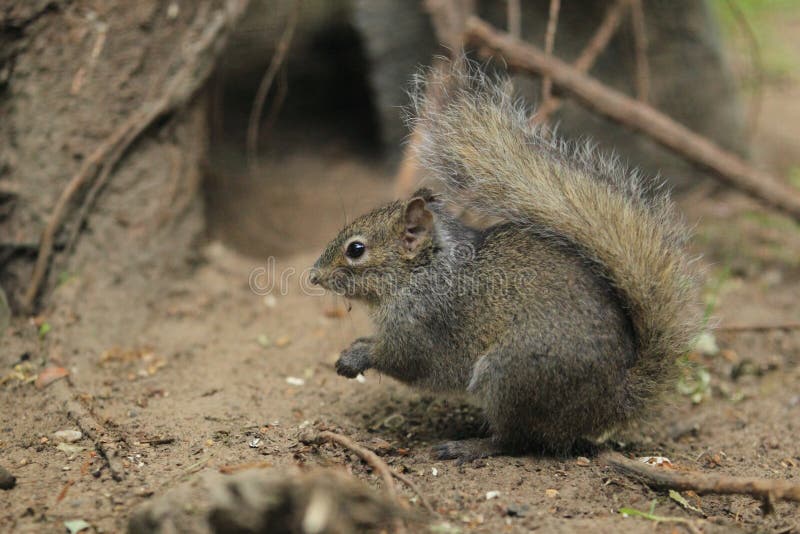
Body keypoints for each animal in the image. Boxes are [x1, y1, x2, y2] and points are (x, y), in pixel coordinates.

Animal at [309, 62, 701, 461]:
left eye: (356, 249)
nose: (314, 276)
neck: (424, 271)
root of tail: (611, 403)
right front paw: (356, 345)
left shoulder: (425, 324)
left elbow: (401, 357)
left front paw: (359, 356)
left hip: (510, 377)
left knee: (515, 441)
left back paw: (467, 446)